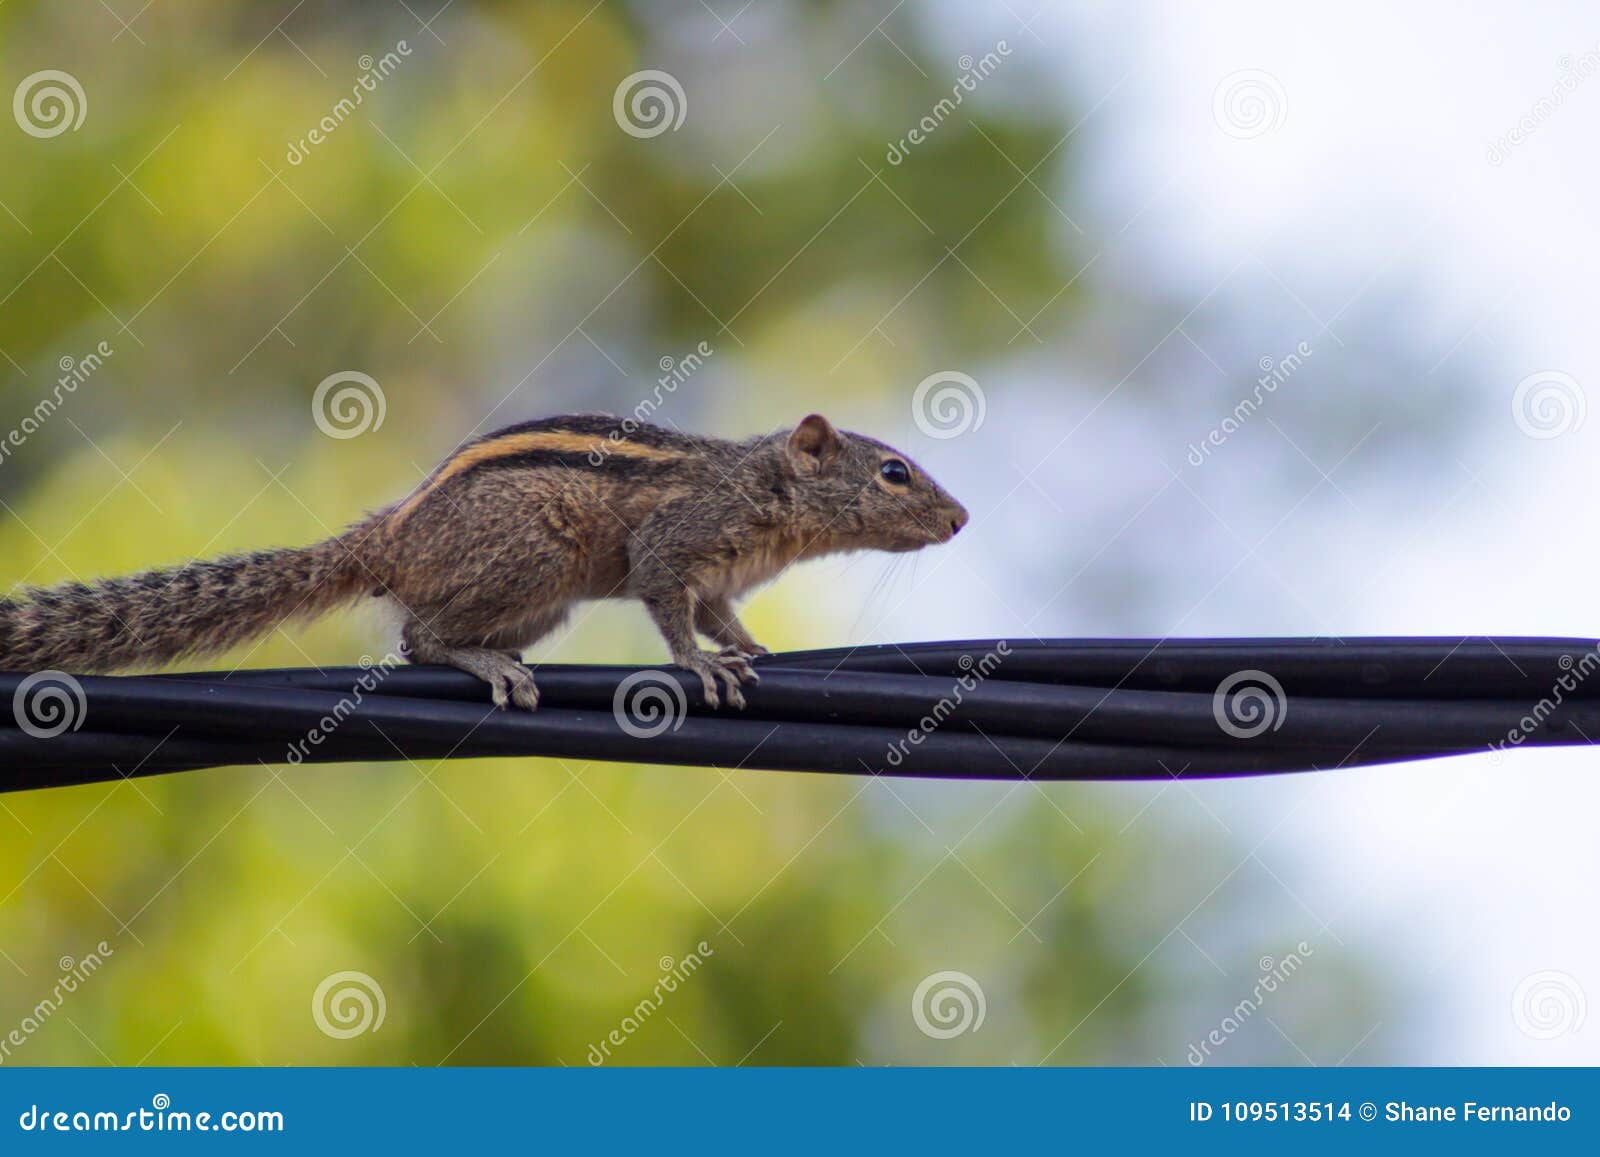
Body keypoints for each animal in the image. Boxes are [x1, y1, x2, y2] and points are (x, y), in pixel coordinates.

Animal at [0, 413, 968, 710]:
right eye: (894, 472)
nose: (960, 519)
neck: (760, 485)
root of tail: (389, 536)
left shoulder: (723, 577)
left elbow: (723, 615)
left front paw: (751, 649)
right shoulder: (676, 543)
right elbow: (671, 608)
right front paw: (700, 666)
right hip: (531, 558)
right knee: (419, 637)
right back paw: (486, 661)